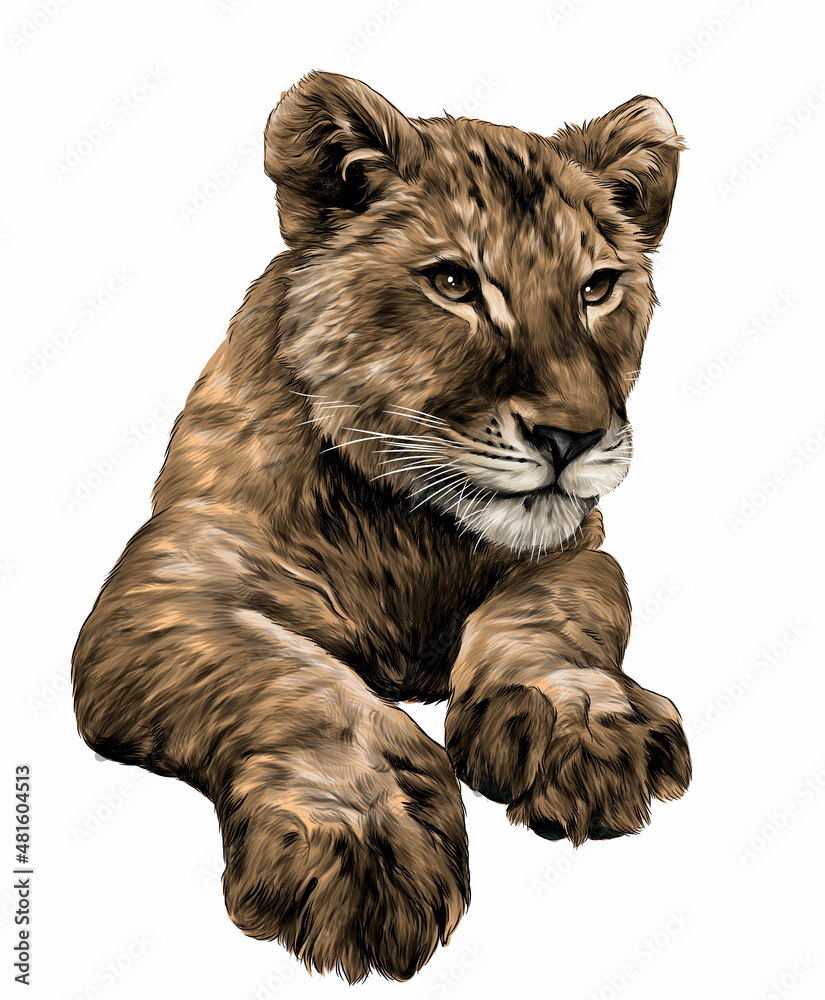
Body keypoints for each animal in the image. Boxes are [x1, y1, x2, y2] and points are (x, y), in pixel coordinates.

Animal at [72, 71, 691, 983]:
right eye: (454, 284)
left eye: (596, 287)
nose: (571, 438)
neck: (409, 526)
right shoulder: (163, 588)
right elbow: (298, 679)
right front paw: (364, 836)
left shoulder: (577, 552)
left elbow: (545, 620)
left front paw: (584, 724)